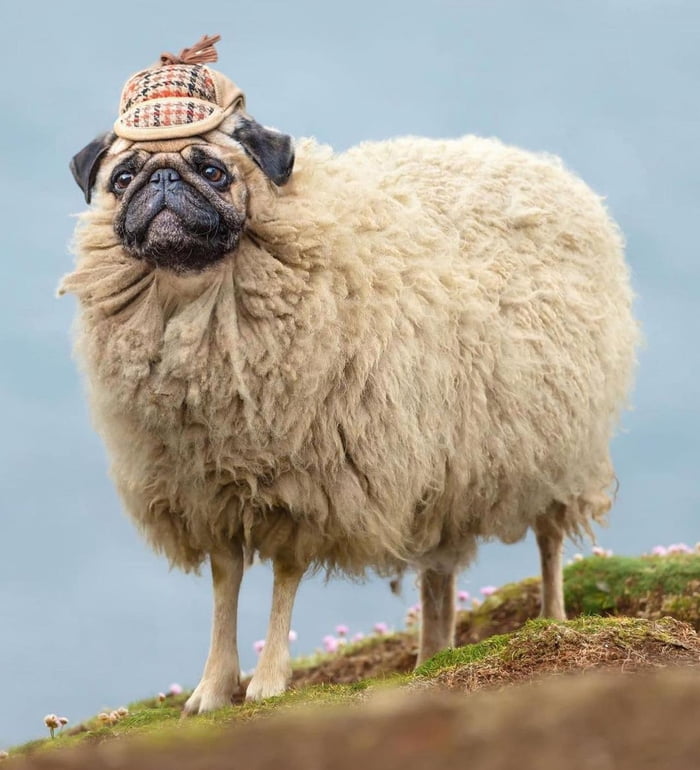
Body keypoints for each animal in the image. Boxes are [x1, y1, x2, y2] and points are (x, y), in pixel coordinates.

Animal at [62, 119, 638, 712]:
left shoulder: (309, 483)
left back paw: (552, 622)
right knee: (439, 571)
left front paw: (268, 683)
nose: (162, 177)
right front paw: (213, 688)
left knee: (548, 541)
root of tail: (526, 158)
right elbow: (226, 583)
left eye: (213, 171)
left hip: (559, 443)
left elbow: (285, 575)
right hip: (449, 464)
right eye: (122, 178)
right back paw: (433, 656)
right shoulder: (206, 492)